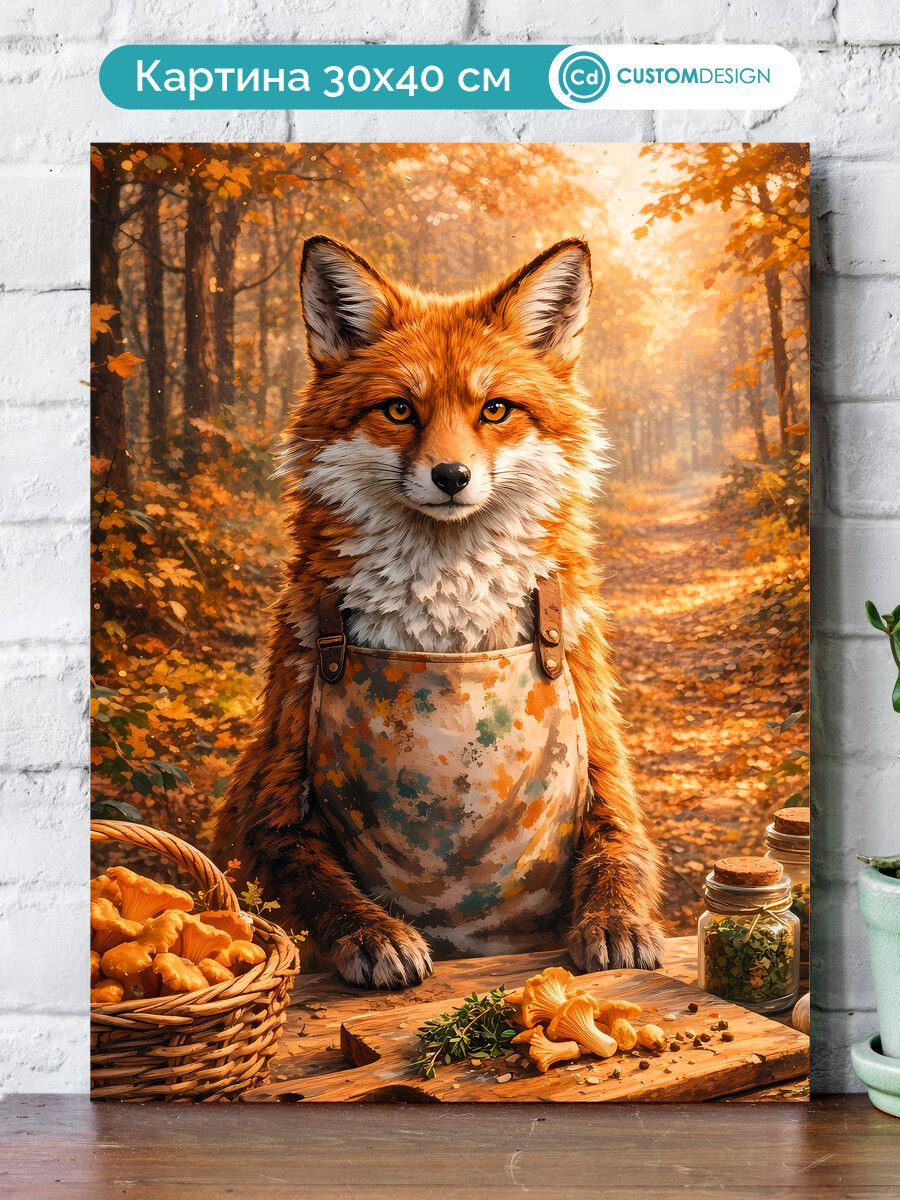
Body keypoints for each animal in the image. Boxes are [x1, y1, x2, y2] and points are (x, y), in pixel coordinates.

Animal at [212, 234, 664, 989]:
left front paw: (617, 922)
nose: (451, 477)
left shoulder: (604, 767)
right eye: (400, 410)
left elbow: (618, 854)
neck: (446, 637)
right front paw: (376, 935)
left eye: (495, 410)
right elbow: (320, 883)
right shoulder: (267, 802)